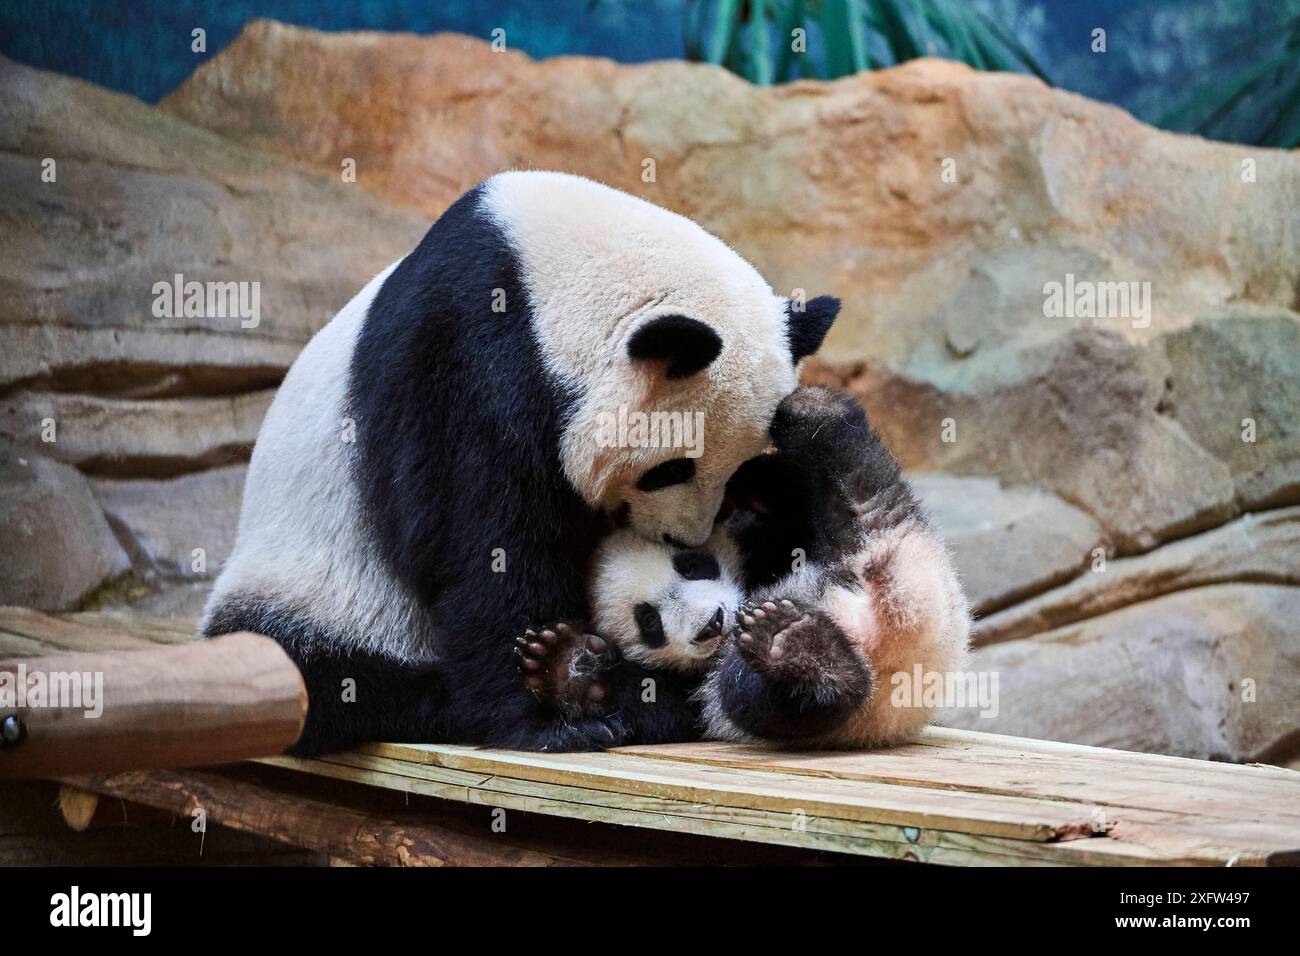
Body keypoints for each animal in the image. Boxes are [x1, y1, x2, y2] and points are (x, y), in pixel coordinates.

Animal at [201, 171, 843, 754]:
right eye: (672, 469)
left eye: (735, 468)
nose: (683, 536)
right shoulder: (462, 354)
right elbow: (480, 542)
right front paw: (544, 717)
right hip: (326, 592)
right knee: (323, 676)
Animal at [522, 385, 971, 748]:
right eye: (649, 622)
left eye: (692, 566)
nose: (712, 624)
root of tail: (897, 624)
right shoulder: (689, 685)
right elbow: (661, 706)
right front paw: (564, 663)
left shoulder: (779, 535)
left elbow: (776, 497)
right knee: (753, 696)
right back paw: (800, 650)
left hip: (876, 552)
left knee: (852, 473)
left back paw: (812, 409)